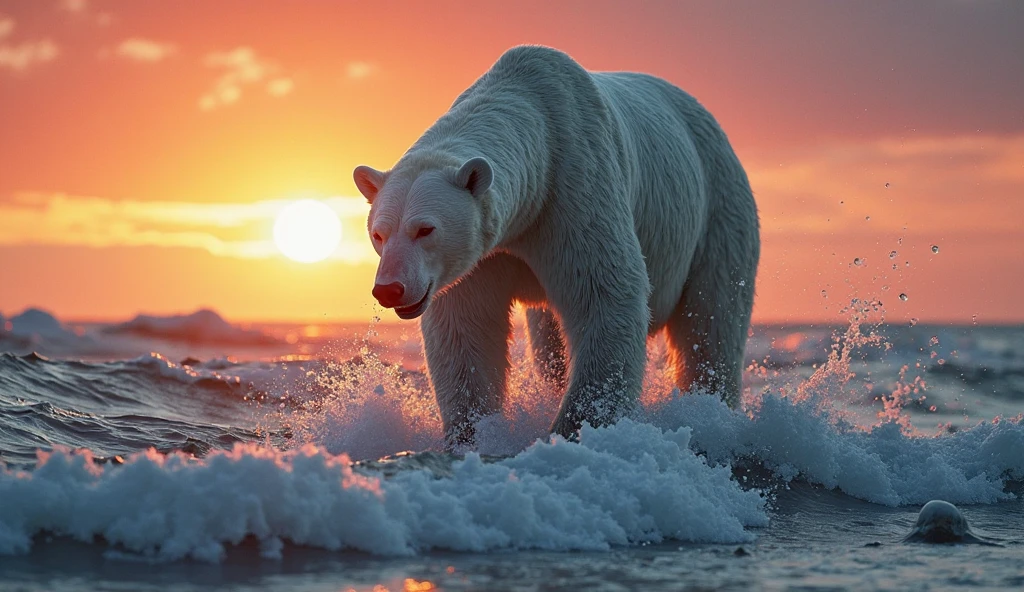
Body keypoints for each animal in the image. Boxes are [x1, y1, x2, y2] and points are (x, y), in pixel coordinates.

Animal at [353, 46, 759, 450]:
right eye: (378, 233)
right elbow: (466, 325)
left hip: (718, 208)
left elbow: (605, 295)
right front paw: (473, 432)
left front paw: (574, 428)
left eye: (425, 229)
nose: (389, 289)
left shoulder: (575, 189)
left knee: (712, 317)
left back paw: (709, 409)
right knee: (550, 340)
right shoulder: (486, 254)